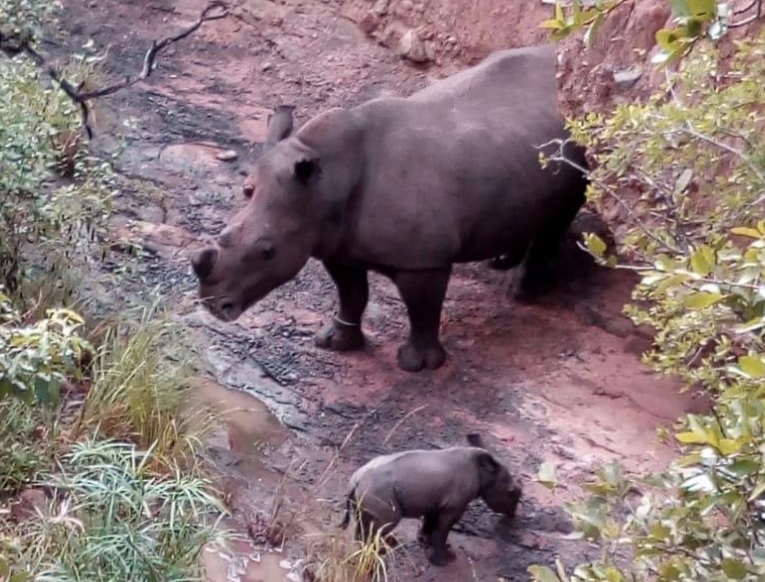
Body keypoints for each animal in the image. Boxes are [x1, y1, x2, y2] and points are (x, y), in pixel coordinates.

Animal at [191, 44, 589, 373]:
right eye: (223, 233)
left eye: (267, 252)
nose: (213, 305)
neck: (325, 186)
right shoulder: (338, 243)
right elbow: (352, 295)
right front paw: (336, 343)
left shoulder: (423, 260)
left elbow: (422, 309)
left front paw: (418, 365)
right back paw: (501, 262)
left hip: (579, 137)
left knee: (561, 212)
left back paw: (521, 292)